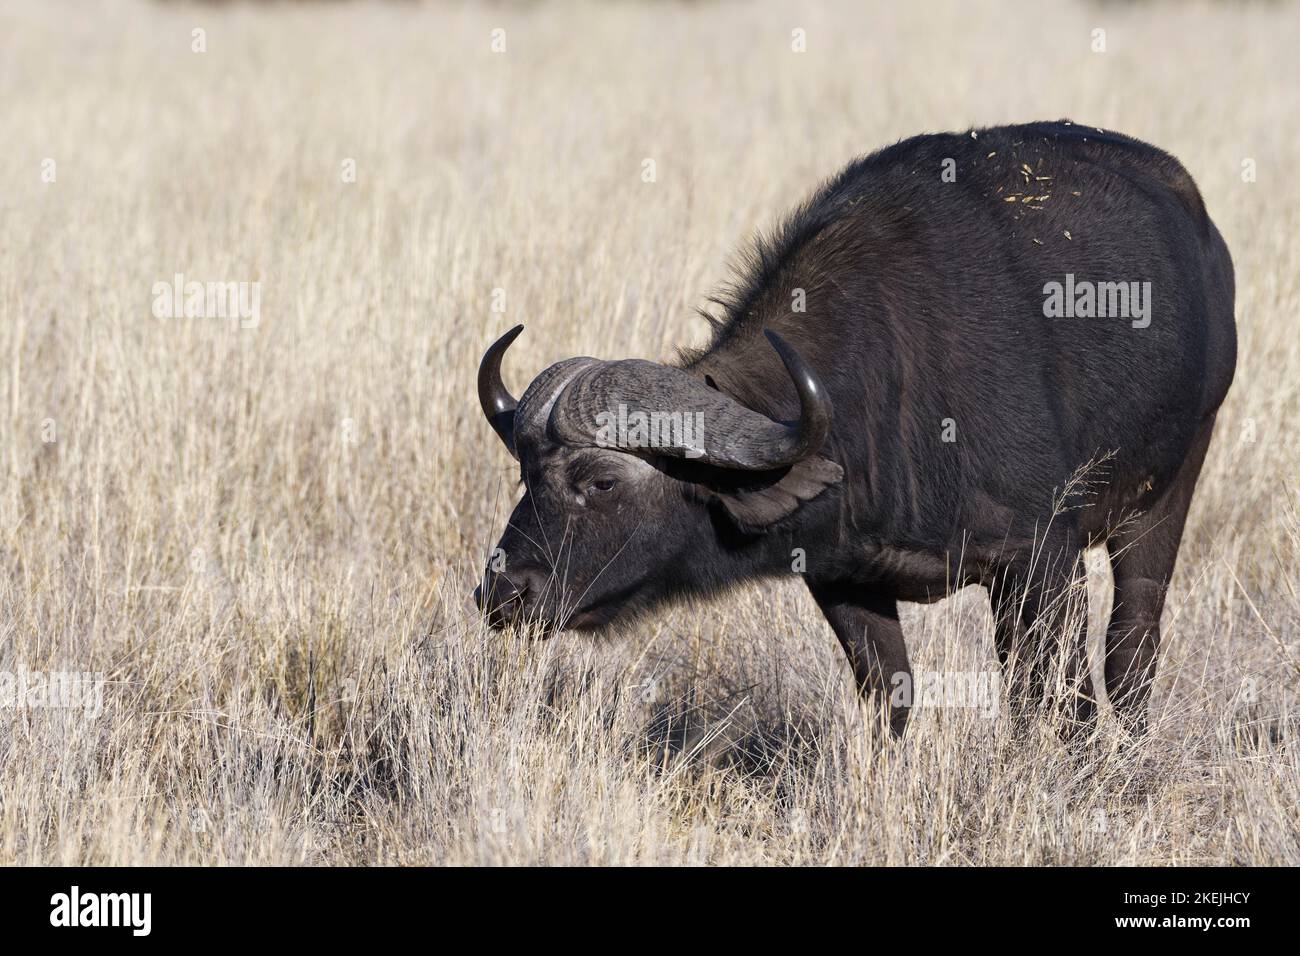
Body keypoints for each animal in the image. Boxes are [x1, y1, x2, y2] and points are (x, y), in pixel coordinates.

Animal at [474, 120, 1236, 736]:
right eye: (524, 474)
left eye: (602, 481)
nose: (503, 594)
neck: (879, 393)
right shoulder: (844, 579)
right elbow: (890, 697)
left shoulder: (1043, 558)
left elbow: (1060, 700)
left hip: (1167, 490)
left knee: (1131, 648)